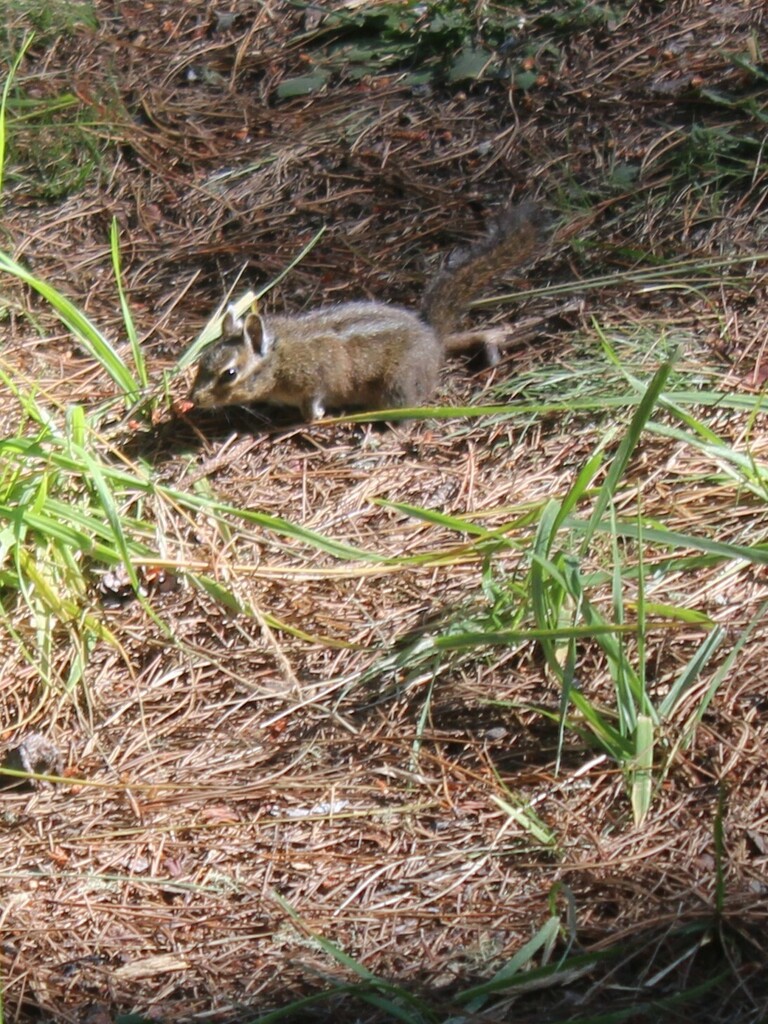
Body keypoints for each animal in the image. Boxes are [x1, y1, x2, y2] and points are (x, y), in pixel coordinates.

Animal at [189, 200, 549, 420]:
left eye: (229, 374)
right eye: (201, 361)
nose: (194, 398)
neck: (279, 357)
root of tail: (431, 336)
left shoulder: (317, 378)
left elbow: (315, 404)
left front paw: (309, 418)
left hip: (397, 384)